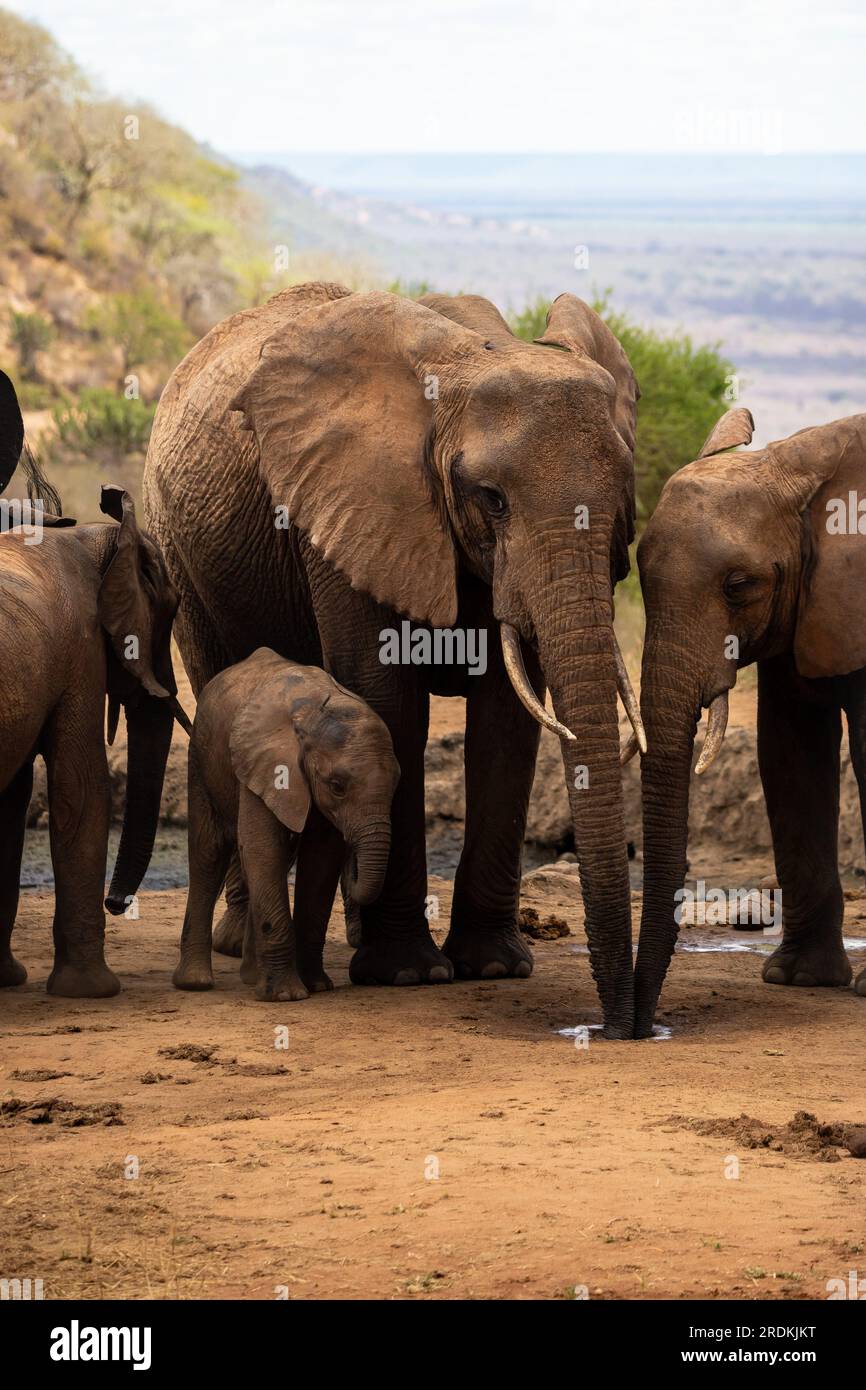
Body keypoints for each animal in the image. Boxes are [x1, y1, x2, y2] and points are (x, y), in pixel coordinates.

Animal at [0, 371, 189, 994]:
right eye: (170, 611)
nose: (117, 902)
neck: (96, 537)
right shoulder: (81, 647)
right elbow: (82, 786)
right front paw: (93, 992)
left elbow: (15, 799)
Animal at [173, 648, 400, 1000]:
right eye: (337, 786)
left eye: (396, 784)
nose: (355, 863)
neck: (313, 715)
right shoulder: (266, 765)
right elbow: (261, 847)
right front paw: (286, 996)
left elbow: (320, 861)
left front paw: (317, 986)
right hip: (202, 755)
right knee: (208, 852)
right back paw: (196, 983)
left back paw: (252, 977)